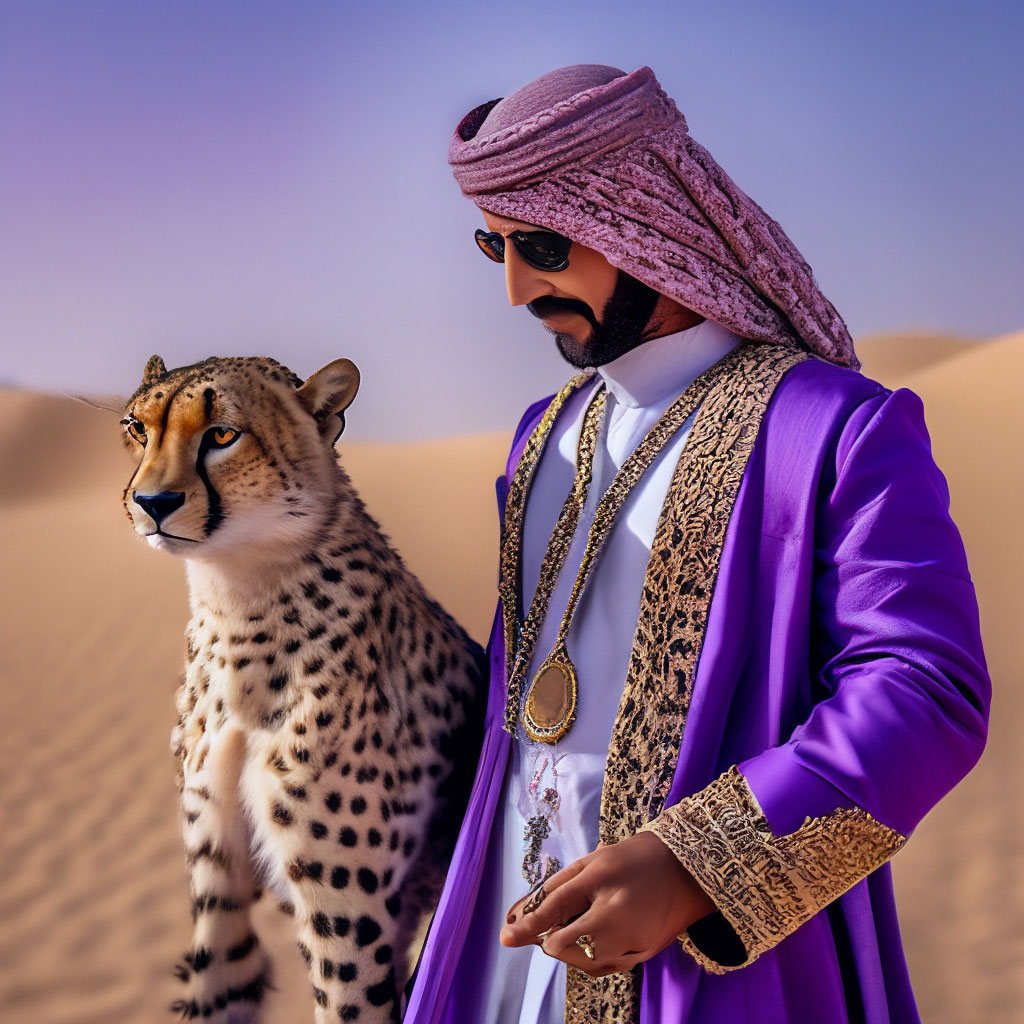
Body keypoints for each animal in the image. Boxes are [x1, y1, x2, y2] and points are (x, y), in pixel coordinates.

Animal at [119, 353, 487, 1023]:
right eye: (138, 427)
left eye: (221, 434)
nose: (152, 502)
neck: (238, 602)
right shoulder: (216, 872)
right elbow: (221, 981)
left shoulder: (347, 913)